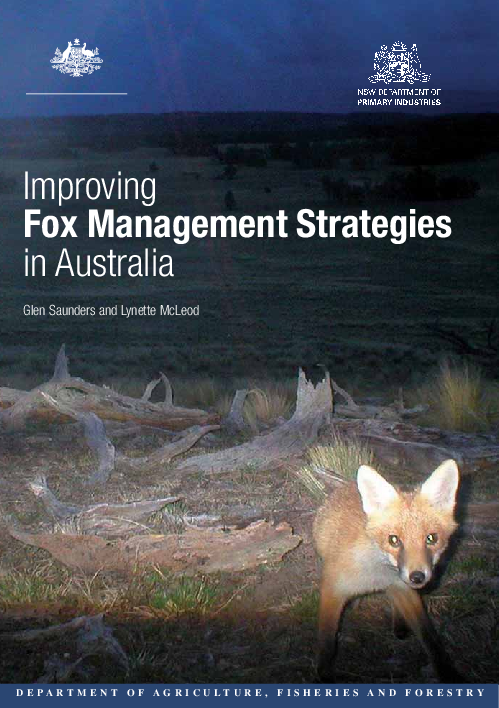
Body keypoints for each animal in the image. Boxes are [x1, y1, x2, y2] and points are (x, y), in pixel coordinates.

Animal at [313, 458, 464, 683]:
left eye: (431, 538)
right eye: (394, 540)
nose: (417, 577)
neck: (376, 575)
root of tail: (347, 485)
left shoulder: (402, 587)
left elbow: (430, 638)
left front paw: (447, 671)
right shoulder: (332, 589)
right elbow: (327, 641)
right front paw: (324, 673)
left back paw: (399, 624)